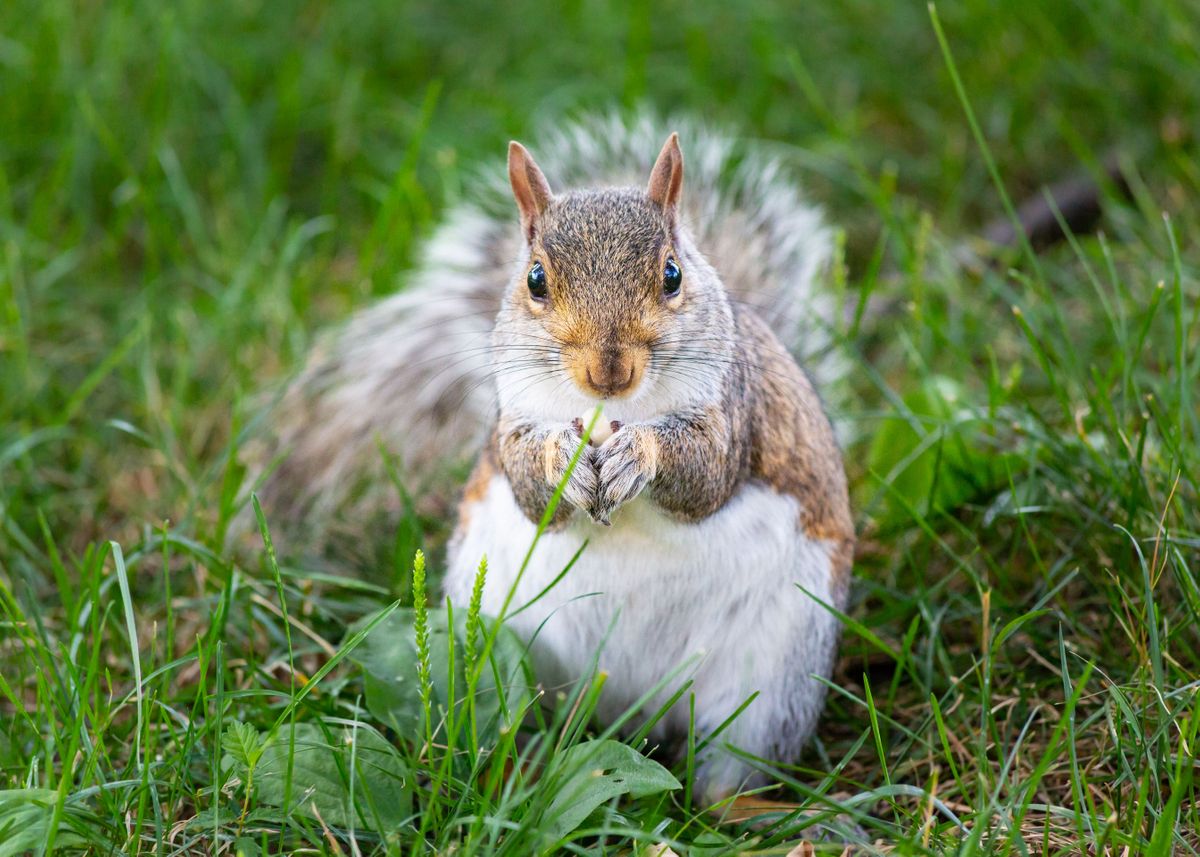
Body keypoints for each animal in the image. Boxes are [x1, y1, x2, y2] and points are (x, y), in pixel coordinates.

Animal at [249, 114, 854, 802]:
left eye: (673, 274)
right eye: (535, 279)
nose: (608, 372)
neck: (608, 410)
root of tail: (636, 709)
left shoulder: (735, 410)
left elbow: (706, 473)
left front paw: (636, 454)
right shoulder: (510, 422)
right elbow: (528, 483)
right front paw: (561, 457)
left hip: (771, 678)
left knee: (727, 771)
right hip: (505, 646)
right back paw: (523, 772)